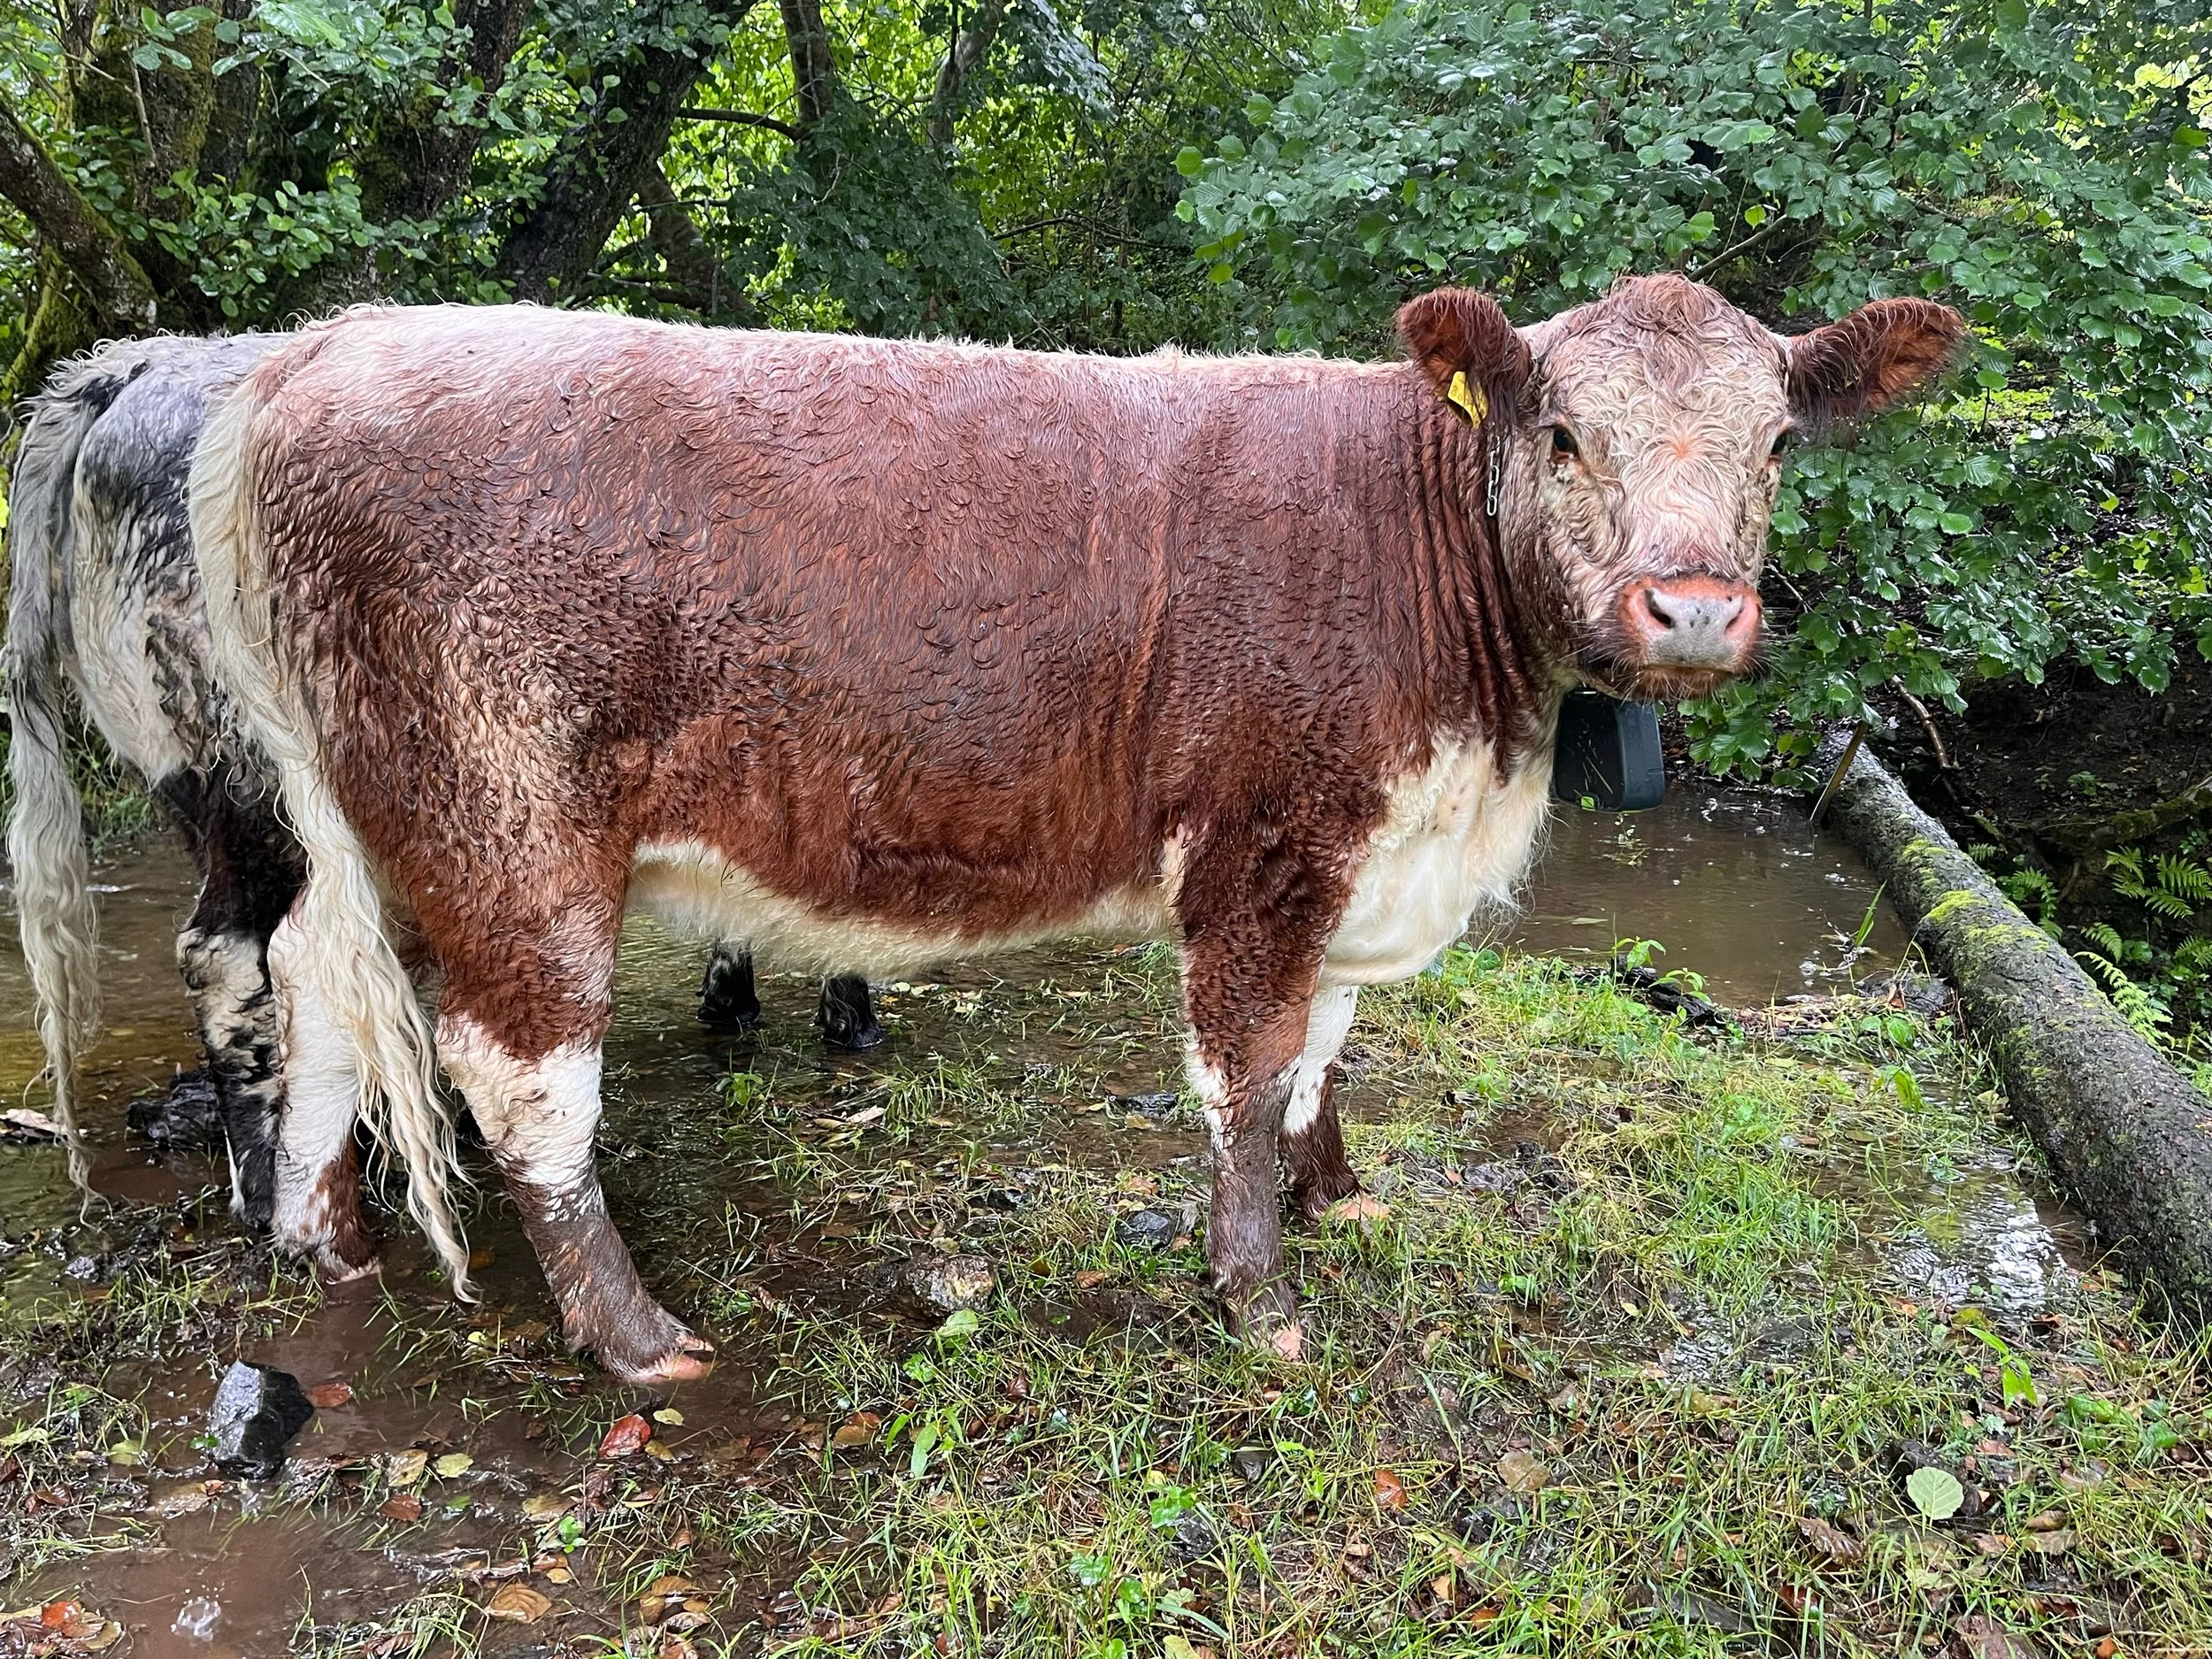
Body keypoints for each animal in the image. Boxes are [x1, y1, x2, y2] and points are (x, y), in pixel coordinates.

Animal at [4, 337, 883, 1273]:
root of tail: (132, 368)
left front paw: (740, 999)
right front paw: (843, 1011)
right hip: (262, 783)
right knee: (232, 954)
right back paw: (274, 1181)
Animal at [188, 276, 1963, 1381]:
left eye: (1780, 442)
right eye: (1563, 434)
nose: (1693, 608)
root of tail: (318, 351)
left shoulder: (1351, 865)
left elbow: (1324, 1056)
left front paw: (1339, 1195)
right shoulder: (1263, 845)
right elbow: (1247, 1070)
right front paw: (1260, 1296)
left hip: (373, 825)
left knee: (322, 999)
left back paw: (322, 1239)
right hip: (512, 827)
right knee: (521, 1074)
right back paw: (634, 1336)